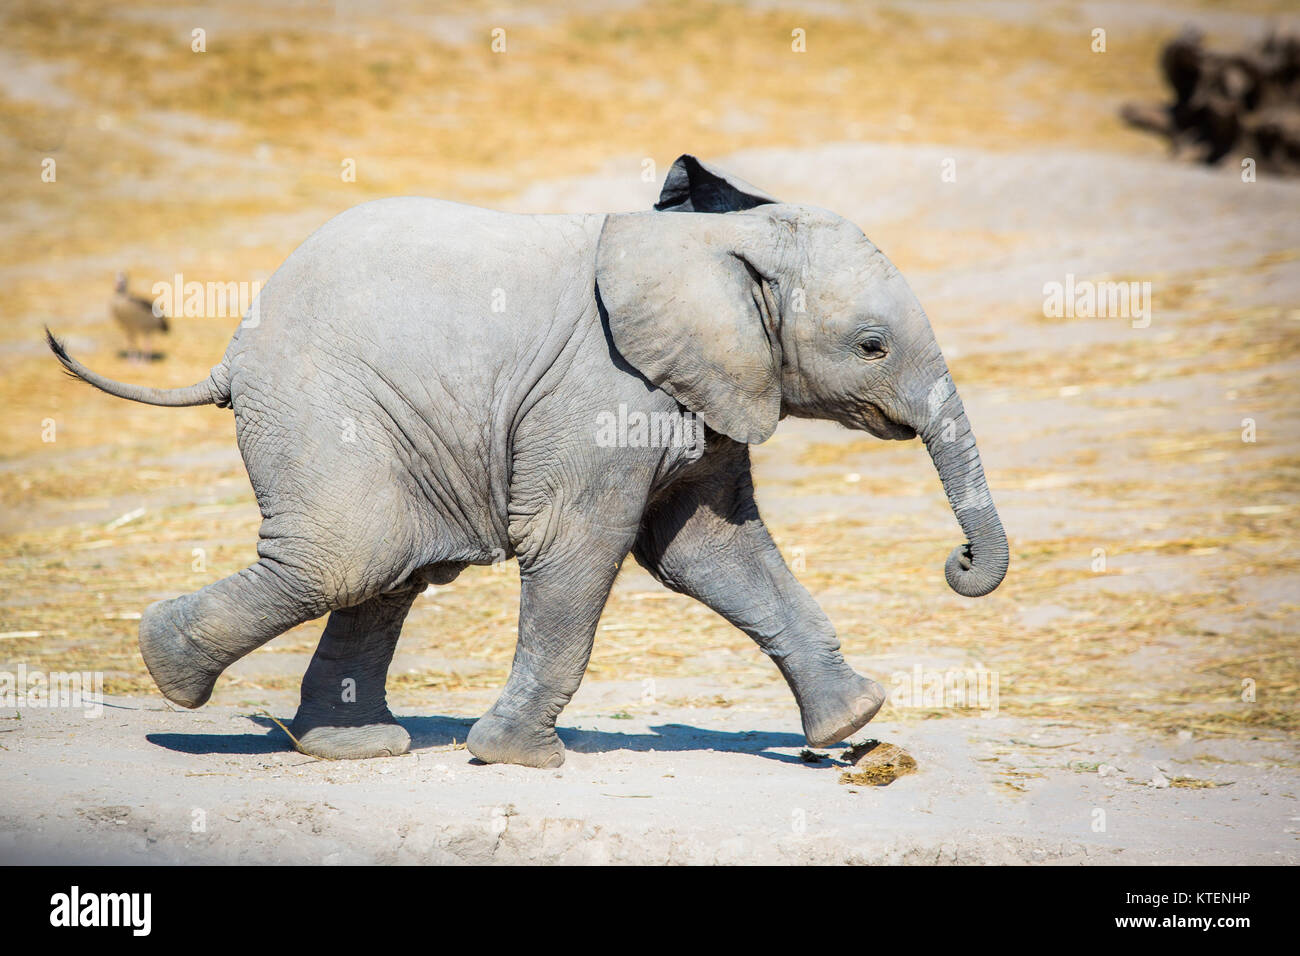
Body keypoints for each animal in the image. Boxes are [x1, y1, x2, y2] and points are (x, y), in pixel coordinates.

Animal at [47, 154, 1008, 768]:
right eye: (872, 345)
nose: (960, 561)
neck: (714, 245)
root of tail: (233, 352)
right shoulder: (601, 395)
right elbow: (581, 551)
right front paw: (517, 759)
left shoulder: (709, 388)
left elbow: (714, 553)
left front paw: (853, 722)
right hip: (327, 409)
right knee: (347, 559)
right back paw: (169, 675)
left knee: (385, 573)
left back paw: (349, 746)